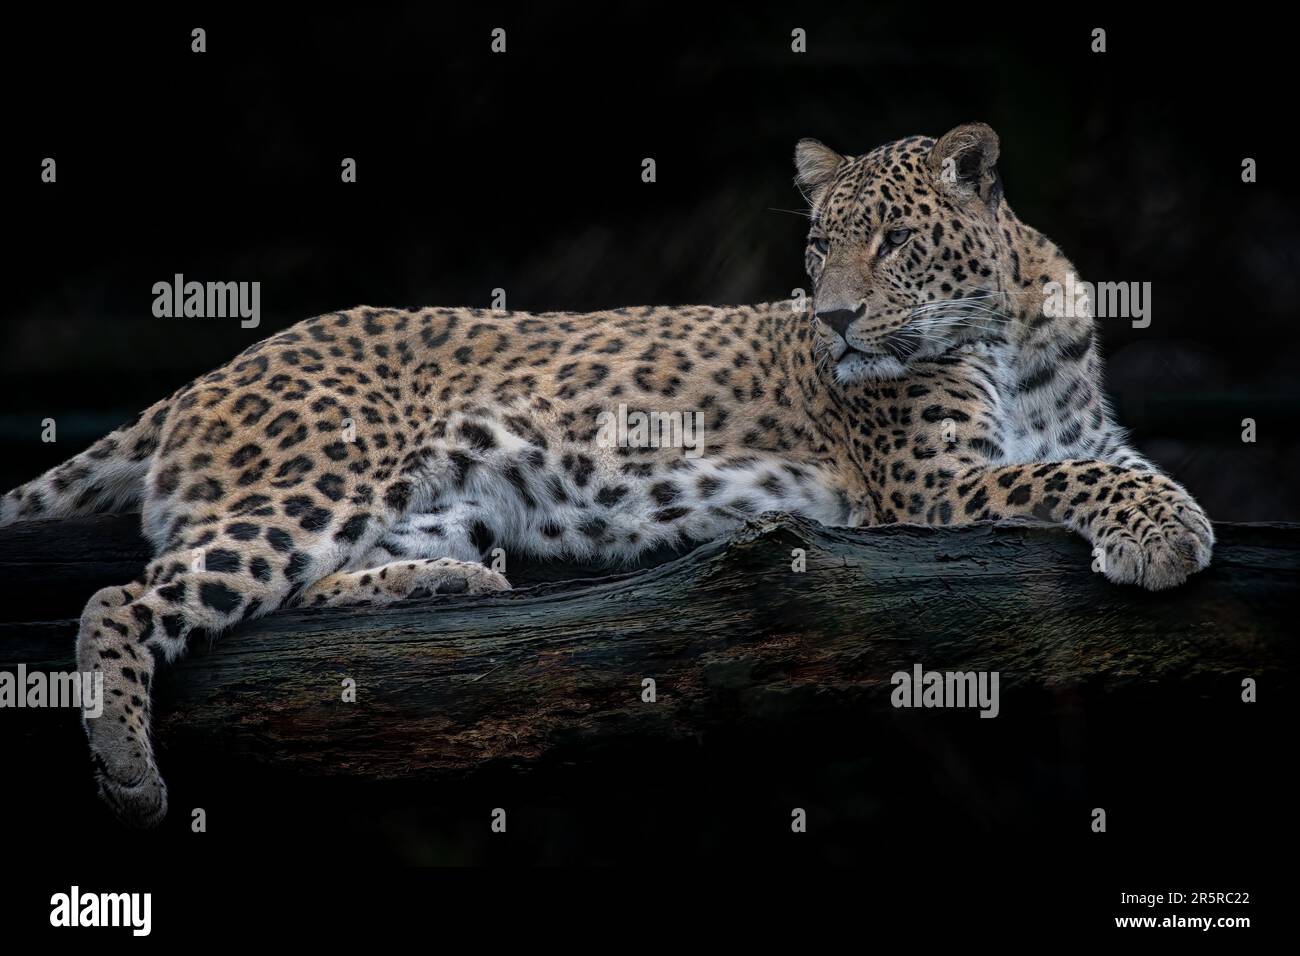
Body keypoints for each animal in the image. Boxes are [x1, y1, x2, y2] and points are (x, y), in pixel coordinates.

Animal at [0, 122, 1213, 828]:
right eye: (821, 244)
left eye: (897, 242)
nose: (832, 318)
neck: (1016, 325)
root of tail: (210, 372)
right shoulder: (932, 486)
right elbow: (1070, 478)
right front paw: (1166, 534)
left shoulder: (1073, 433)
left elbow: (1105, 462)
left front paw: (1171, 515)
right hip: (312, 487)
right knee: (127, 594)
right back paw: (126, 768)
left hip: (417, 509)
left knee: (289, 589)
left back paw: (443, 586)